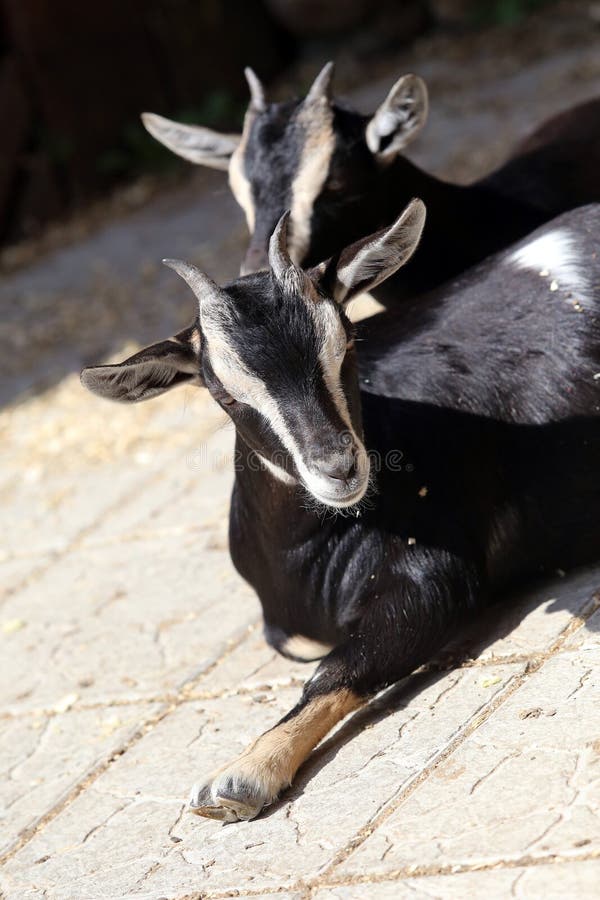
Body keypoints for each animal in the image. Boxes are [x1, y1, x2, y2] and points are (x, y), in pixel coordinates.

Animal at [81, 200, 600, 822]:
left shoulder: (435, 580)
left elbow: (335, 669)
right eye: (224, 394)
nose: (338, 466)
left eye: (346, 343)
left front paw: (242, 775)